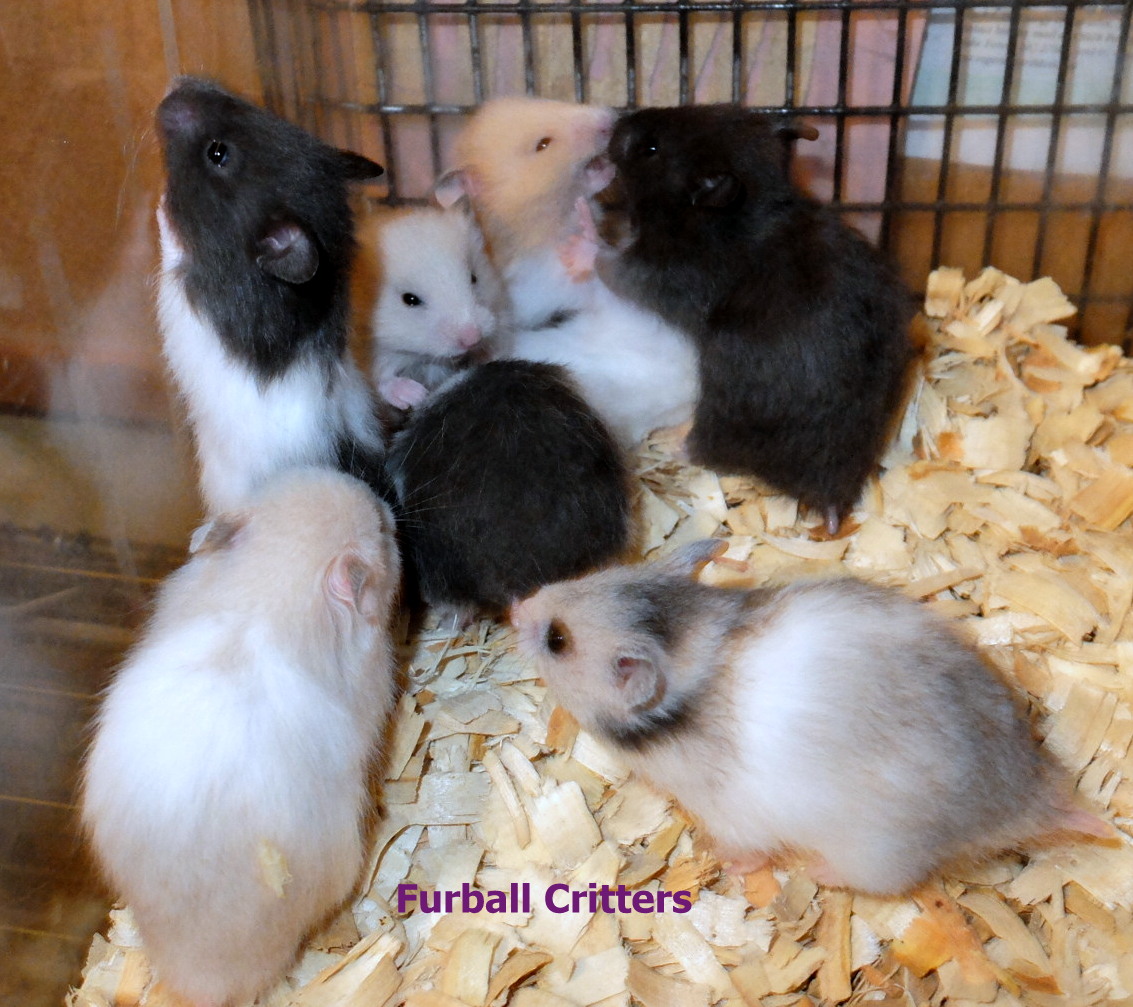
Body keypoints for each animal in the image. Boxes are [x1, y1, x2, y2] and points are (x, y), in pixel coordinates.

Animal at [365, 205, 508, 414]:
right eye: (409, 299)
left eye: (474, 277)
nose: (472, 339)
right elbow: (382, 379)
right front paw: (416, 395)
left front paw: (486, 356)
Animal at [512, 540, 1111, 896]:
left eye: (558, 640)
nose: (516, 606)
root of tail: (1027, 800)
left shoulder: (731, 815)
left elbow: (744, 851)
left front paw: (719, 863)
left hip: (875, 851)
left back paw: (816, 872)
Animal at [602, 105, 916, 531]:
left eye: (650, 149)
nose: (613, 122)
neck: (745, 207)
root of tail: (831, 493)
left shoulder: (662, 274)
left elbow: (614, 267)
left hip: (723, 410)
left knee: (706, 449)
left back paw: (671, 441)